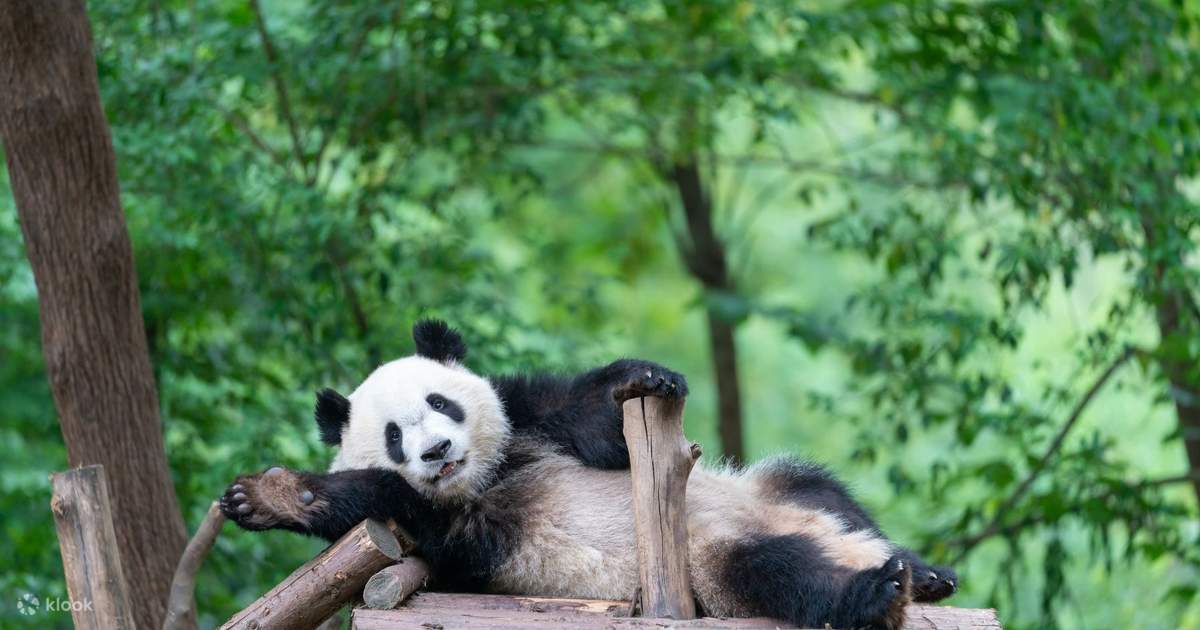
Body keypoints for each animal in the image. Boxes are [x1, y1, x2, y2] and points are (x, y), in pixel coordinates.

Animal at [221, 320, 957, 629]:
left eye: (440, 403)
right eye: (394, 437)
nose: (436, 452)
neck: (487, 475)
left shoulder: (528, 416)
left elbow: (597, 425)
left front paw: (645, 378)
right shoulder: (460, 534)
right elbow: (388, 500)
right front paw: (266, 496)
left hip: (772, 490)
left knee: (822, 490)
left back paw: (921, 573)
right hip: (711, 568)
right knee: (778, 572)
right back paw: (875, 591)